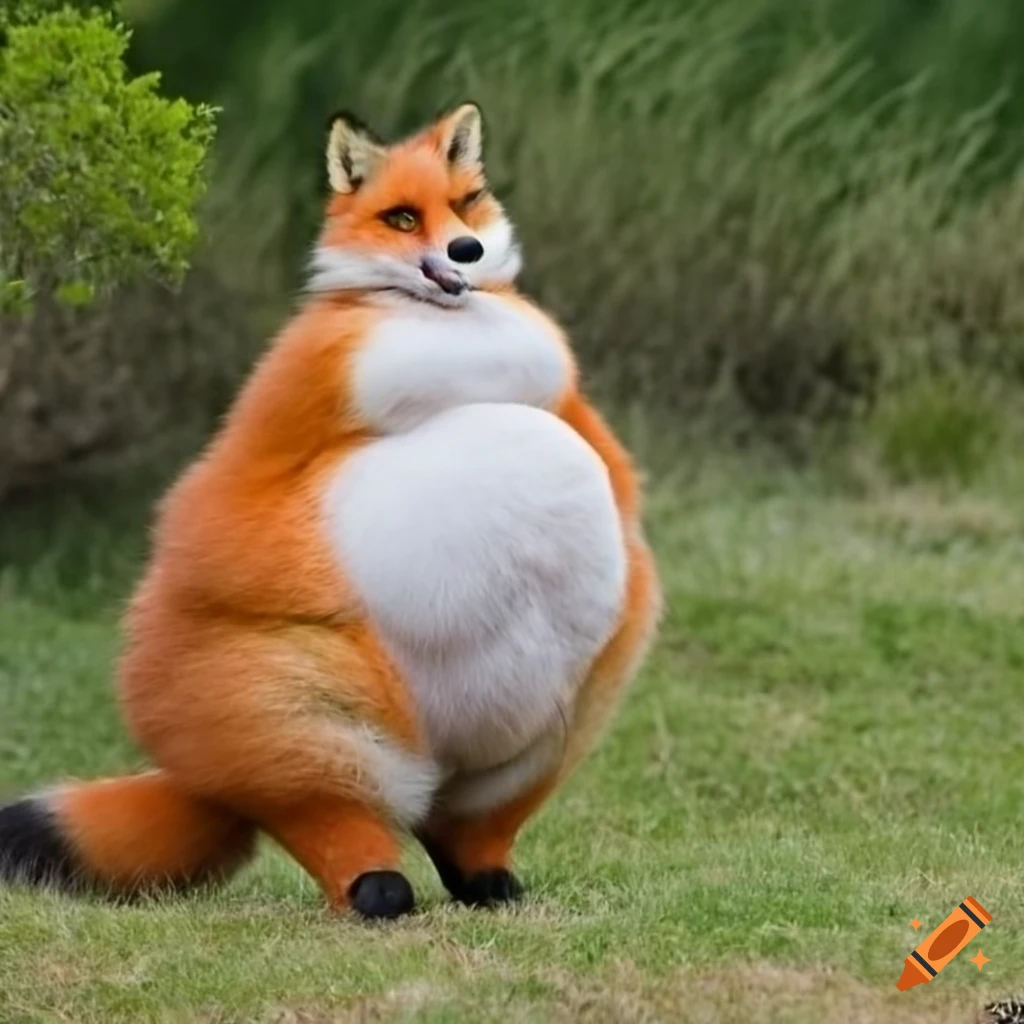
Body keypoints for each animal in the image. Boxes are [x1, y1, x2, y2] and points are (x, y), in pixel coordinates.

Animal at [0, 103, 661, 919]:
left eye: (466, 204)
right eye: (402, 217)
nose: (466, 251)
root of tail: (199, 780)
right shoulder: (340, 362)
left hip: (563, 714)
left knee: (460, 824)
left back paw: (488, 882)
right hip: (315, 715)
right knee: (325, 819)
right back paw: (376, 890)